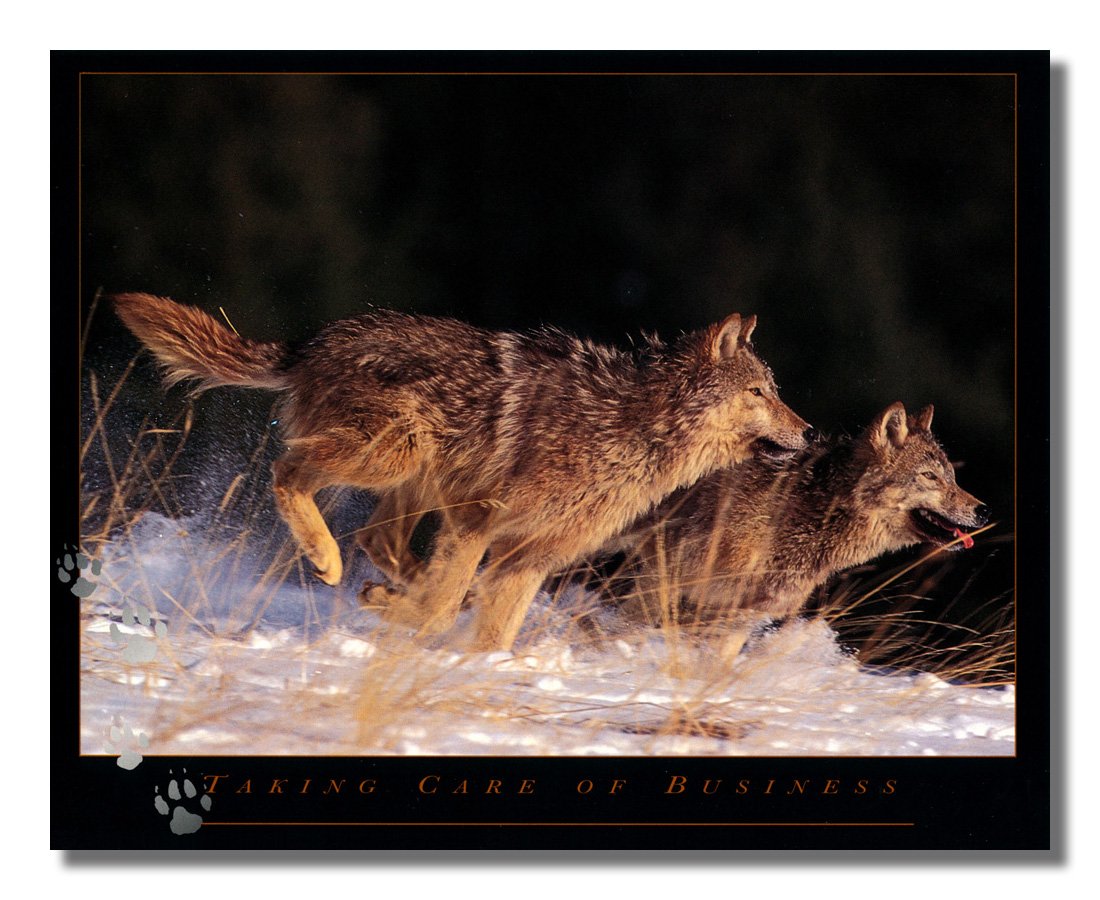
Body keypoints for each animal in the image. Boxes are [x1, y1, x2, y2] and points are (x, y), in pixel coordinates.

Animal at [112, 292, 811, 649]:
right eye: (760, 392)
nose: (809, 434)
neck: (634, 427)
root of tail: (313, 342)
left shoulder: (529, 557)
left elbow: (488, 631)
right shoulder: (481, 520)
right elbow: (444, 610)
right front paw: (408, 611)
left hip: (418, 477)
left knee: (380, 539)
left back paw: (386, 582)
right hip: (398, 453)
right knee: (292, 473)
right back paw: (328, 559)